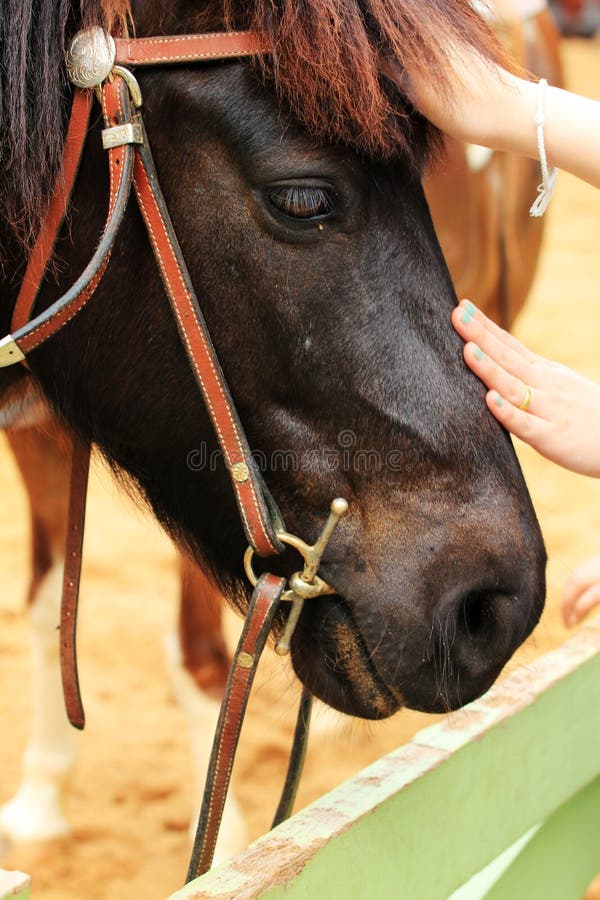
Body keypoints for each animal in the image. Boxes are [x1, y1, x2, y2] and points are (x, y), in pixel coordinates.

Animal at [0, 0, 547, 868]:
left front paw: (218, 851)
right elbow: (49, 600)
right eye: (301, 199)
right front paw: (41, 800)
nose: (497, 603)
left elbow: (193, 651)